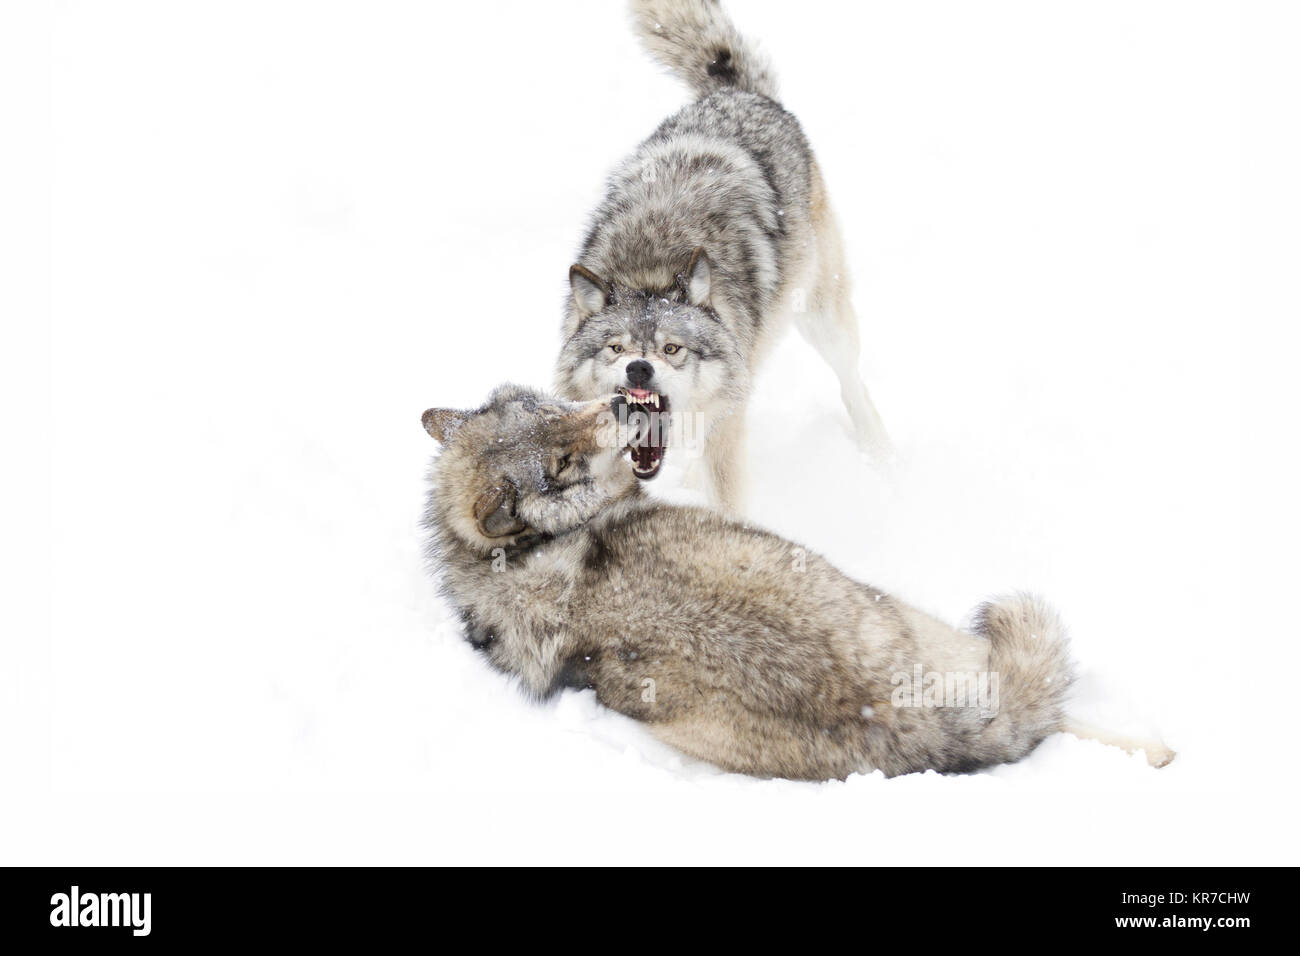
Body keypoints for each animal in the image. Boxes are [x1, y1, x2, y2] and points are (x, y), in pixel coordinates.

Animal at [422, 386, 1175, 780]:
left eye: (551, 411)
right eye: (562, 462)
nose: (618, 400)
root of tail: (906, 715)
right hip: (913, 616)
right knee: (1042, 705)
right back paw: (1152, 747)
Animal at [555, 0, 890, 513]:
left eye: (672, 349)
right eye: (616, 348)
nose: (639, 368)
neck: (649, 266)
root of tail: (739, 92)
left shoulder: (727, 423)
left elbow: (727, 501)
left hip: (822, 319)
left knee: (853, 381)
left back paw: (881, 455)